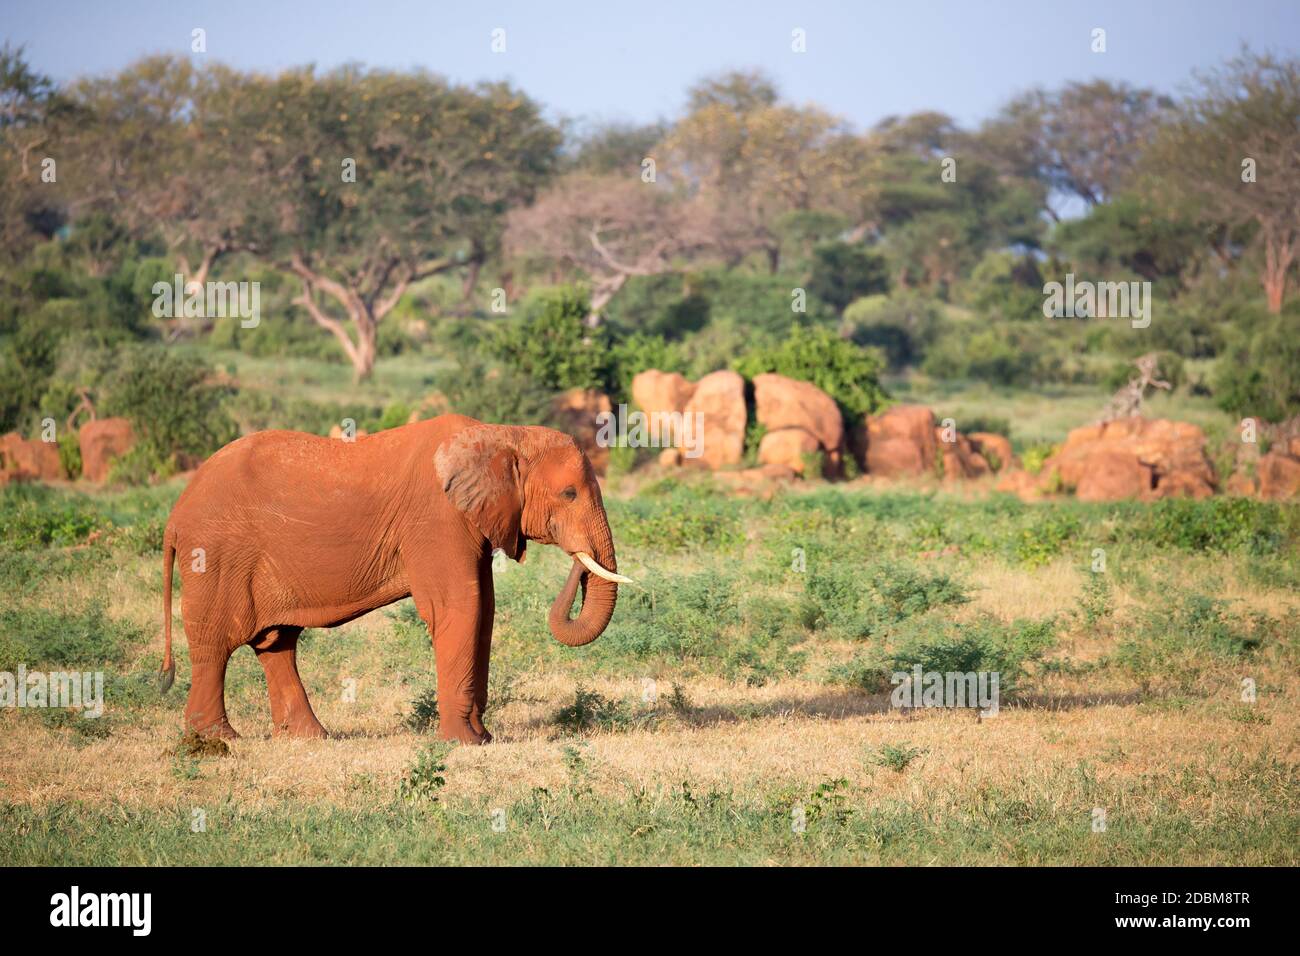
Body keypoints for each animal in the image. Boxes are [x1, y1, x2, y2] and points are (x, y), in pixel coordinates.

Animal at [158, 414, 628, 744]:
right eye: (569, 494)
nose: (578, 561)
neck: (502, 434)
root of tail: (175, 515)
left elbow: (486, 612)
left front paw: (484, 737)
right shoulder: (436, 518)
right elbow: (460, 607)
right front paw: (463, 743)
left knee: (276, 643)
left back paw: (311, 738)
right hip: (215, 554)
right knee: (216, 642)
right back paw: (218, 739)